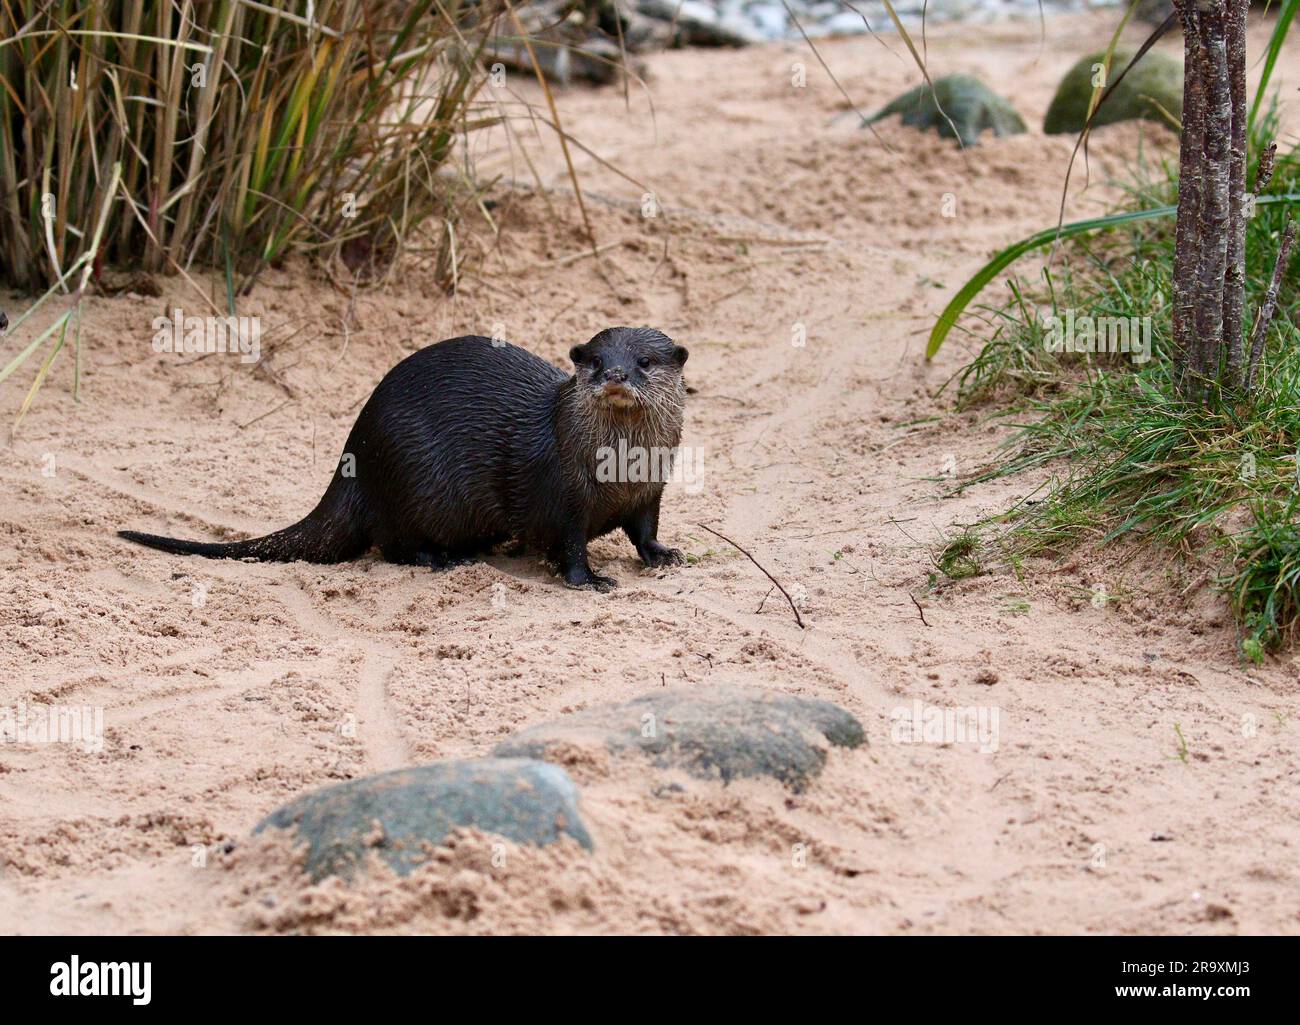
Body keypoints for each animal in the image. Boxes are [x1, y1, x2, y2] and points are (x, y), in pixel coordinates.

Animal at [119, 326, 689, 590]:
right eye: (594, 361)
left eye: (643, 361)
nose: (614, 374)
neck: (618, 471)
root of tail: (354, 462)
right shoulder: (564, 497)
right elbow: (568, 545)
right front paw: (590, 580)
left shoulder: (651, 490)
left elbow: (645, 529)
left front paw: (664, 554)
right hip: (417, 480)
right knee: (391, 542)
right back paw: (445, 558)